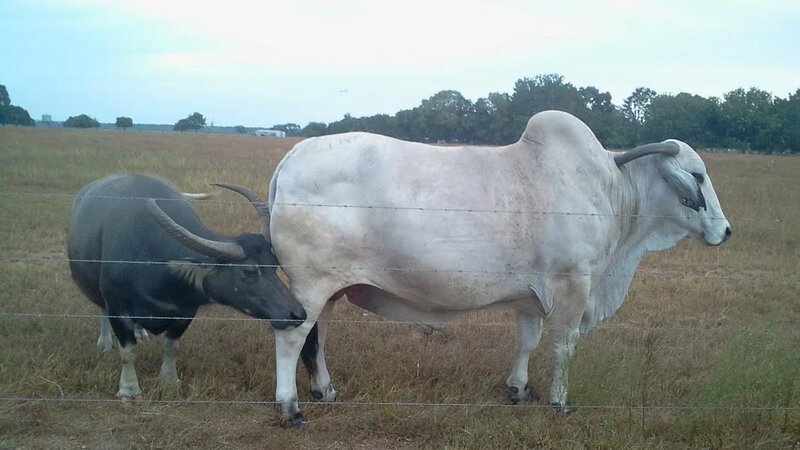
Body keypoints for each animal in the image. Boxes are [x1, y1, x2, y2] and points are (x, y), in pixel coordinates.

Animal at [67, 173, 307, 399]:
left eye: (274, 264)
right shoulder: (118, 306)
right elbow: (128, 350)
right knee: (101, 309)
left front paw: (169, 380)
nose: (297, 314)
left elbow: (171, 345)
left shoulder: (186, 311)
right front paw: (129, 388)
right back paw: (104, 341)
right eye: (249, 271)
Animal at [266, 110, 731, 427]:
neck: (611, 189)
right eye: (697, 175)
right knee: (292, 338)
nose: (725, 231)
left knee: (318, 339)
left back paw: (325, 390)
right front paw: (560, 401)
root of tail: (293, 155)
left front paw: (519, 389)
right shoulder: (573, 285)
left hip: (328, 290)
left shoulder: (530, 296)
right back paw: (290, 408)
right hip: (310, 285)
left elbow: (527, 342)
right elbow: (565, 346)